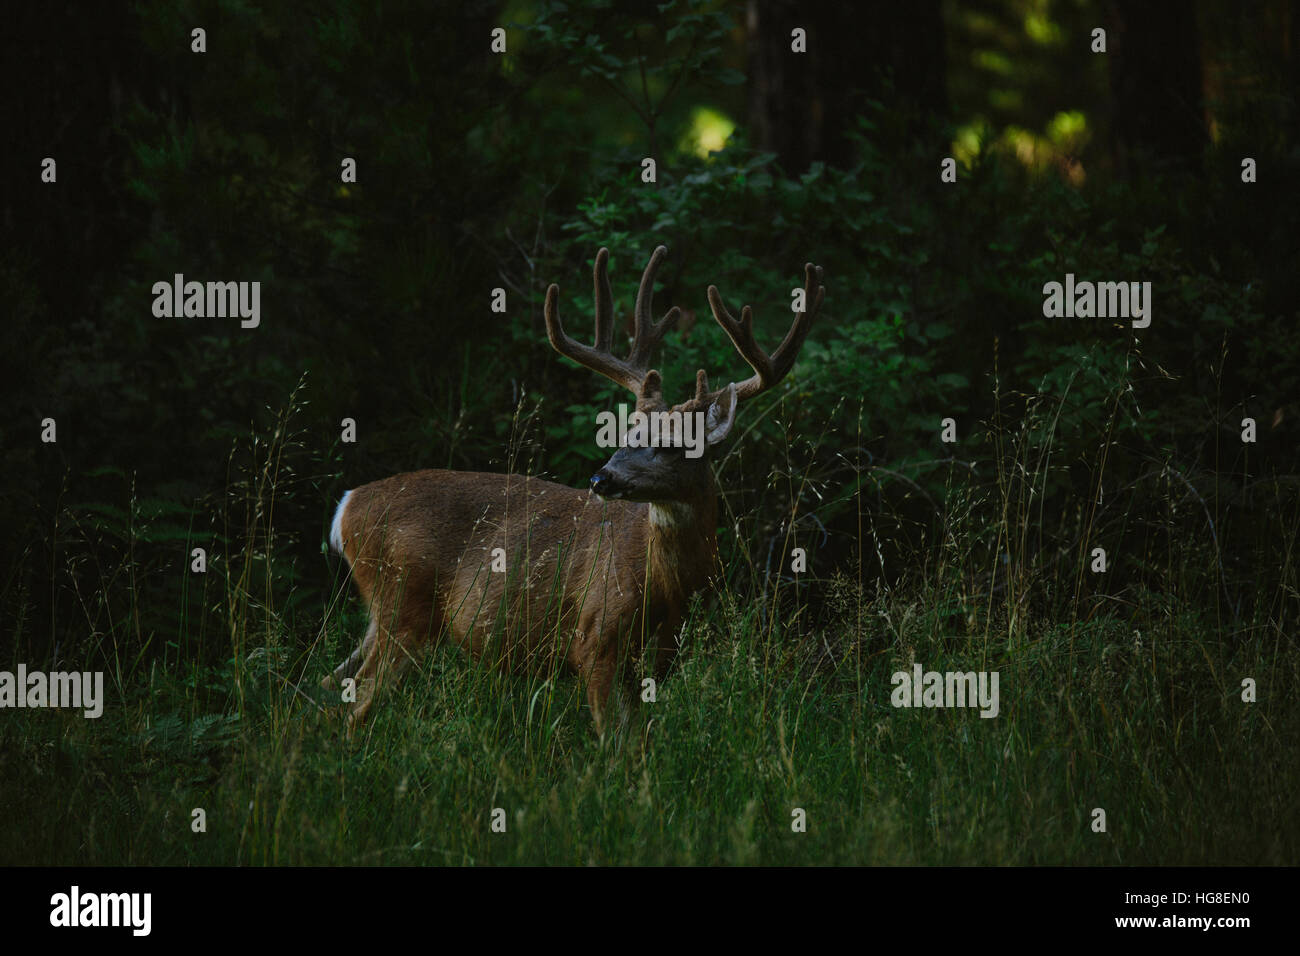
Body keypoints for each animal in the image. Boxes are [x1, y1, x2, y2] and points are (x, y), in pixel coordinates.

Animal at [324, 245, 824, 736]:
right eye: (627, 432)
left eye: (672, 444)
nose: (602, 478)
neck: (667, 588)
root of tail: (346, 506)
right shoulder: (594, 640)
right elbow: (613, 742)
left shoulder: (662, 658)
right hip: (402, 604)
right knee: (357, 706)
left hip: (383, 616)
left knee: (335, 686)